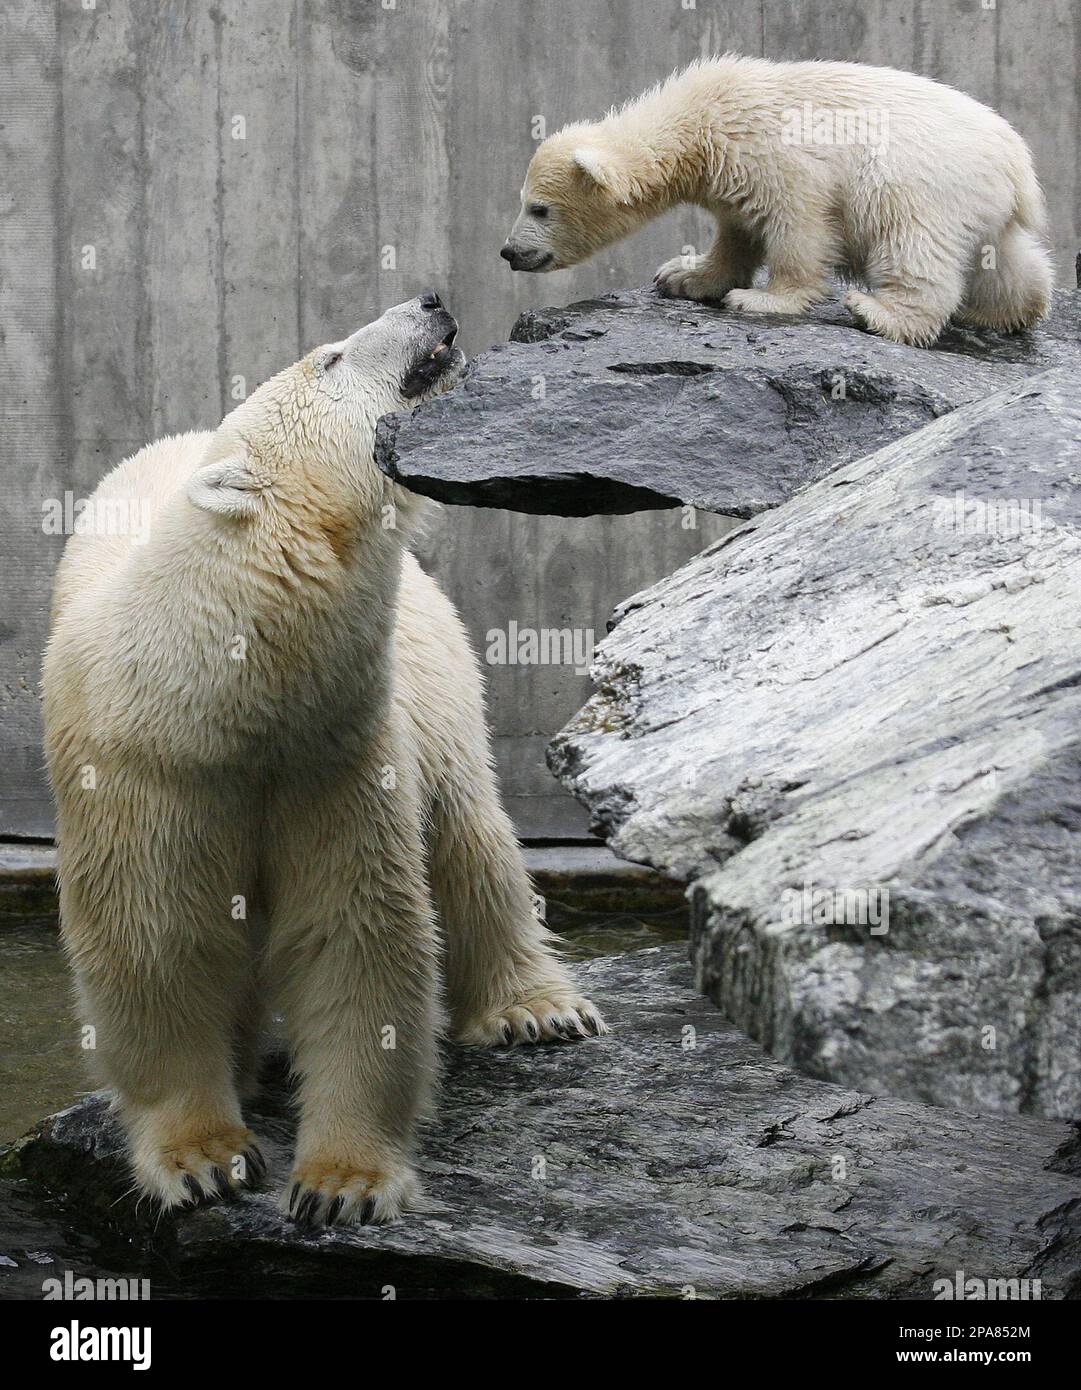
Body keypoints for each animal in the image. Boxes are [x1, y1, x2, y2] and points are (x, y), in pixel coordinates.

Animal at [42, 294, 606, 1227]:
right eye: (332, 356)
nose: (431, 302)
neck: (224, 700)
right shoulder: (144, 774)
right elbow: (155, 944)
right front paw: (204, 1160)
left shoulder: (336, 752)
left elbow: (355, 935)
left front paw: (341, 1183)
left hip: (435, 677)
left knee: (470, 838)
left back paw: (536, 1009)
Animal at [500, 55, 1053, 348]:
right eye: (524, 199)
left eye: (540, 208)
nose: (509, 251)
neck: (699, 119)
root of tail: (1017, 163)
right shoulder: (729, 172)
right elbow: (736, 232)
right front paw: (684, 276)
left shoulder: (772, 154)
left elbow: (798, 224)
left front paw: (763, 298)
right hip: (981, 206)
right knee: (1002, 259)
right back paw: (1005, 313)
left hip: (917, 180)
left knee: (912, 245)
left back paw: (879, 312)